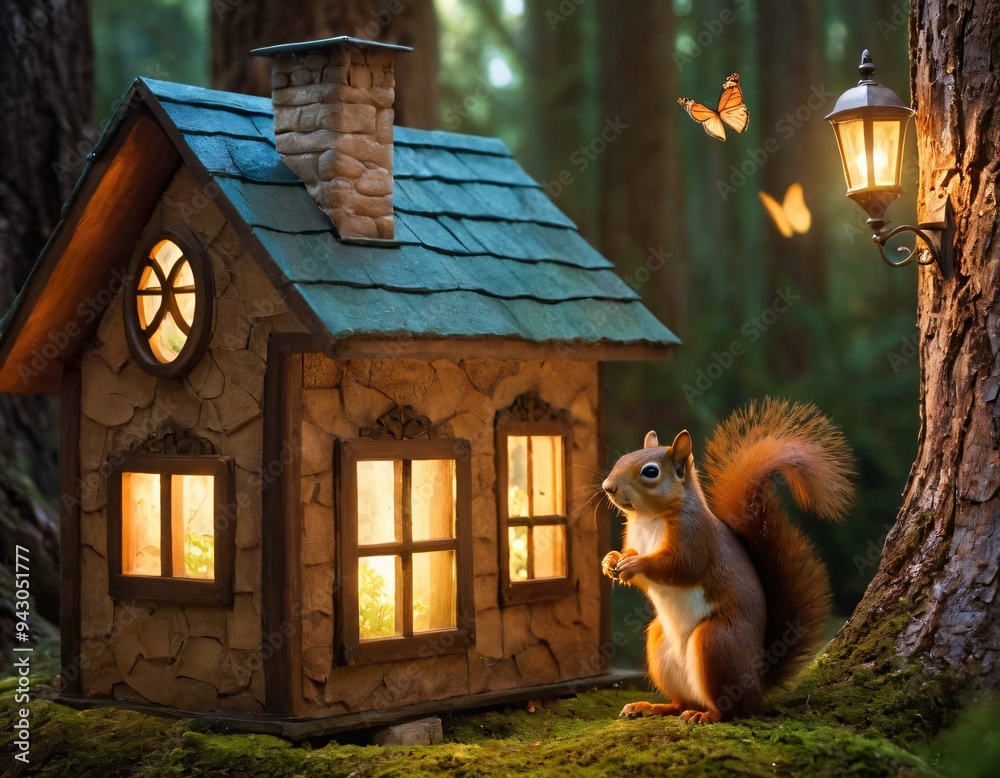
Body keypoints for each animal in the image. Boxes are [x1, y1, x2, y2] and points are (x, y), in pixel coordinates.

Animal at [601, 398, 854, 723]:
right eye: (623, 458)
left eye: (650, 471)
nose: (607, 486)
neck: (649, 519)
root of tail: (757, 684)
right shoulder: (634, 538)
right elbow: (633, 561)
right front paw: (610, 560)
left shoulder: (695, 536)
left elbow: (682, 568)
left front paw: (635, 565)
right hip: (660, 645)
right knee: (681, 702)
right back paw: (650, 707)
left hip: (716, 642)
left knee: (733, 709)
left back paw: (707, 715)